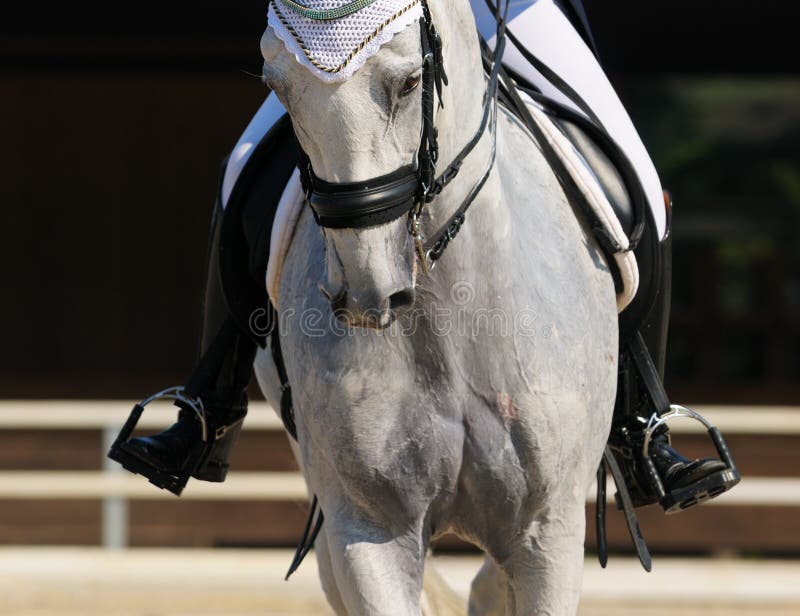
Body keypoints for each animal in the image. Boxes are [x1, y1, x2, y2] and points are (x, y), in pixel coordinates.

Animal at [253, 0, 616, 612]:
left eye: (409, 82)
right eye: (279, 90)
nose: (369, 289)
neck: (449, 323)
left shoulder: (550, 536)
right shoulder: (369, 530)